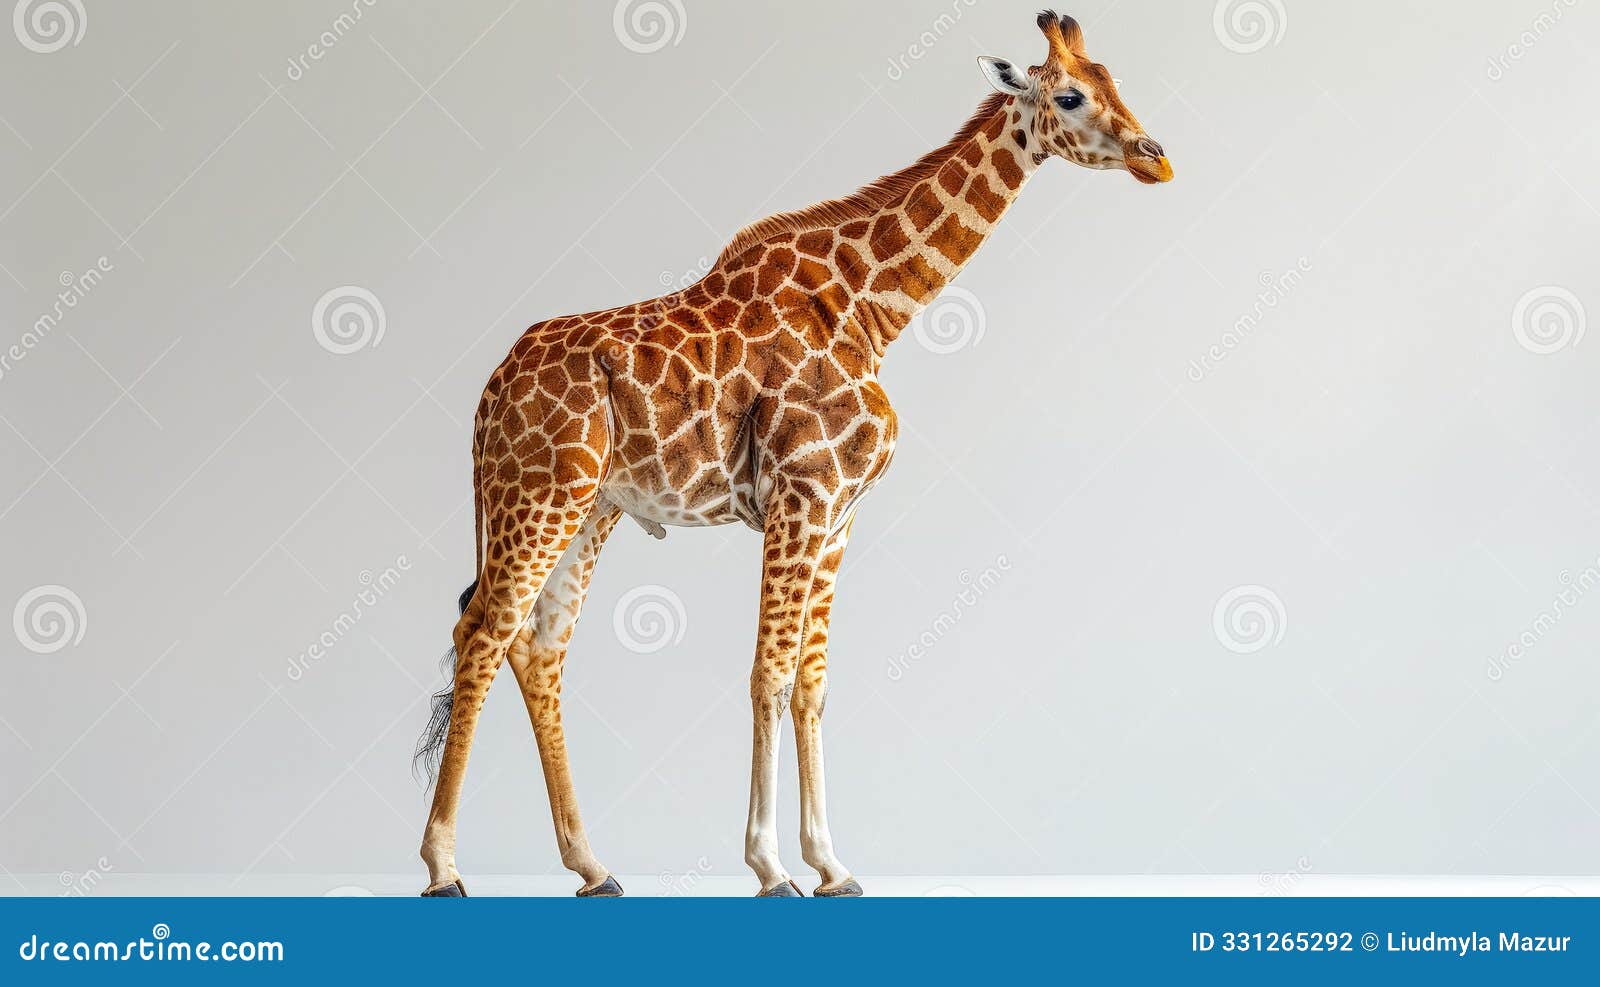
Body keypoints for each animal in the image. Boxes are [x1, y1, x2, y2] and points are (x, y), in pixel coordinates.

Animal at [414, 10, 1172, 898]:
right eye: (1071, 94)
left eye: (1113, 77)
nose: (1157, 156)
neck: (873, 309)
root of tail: (489, 393)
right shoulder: (801, 494)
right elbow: (767, 675)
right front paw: (770, 864)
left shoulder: (839, 514)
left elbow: (811, 684)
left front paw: (831, 863)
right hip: (537, 493)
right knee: (482, 632)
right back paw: (442, 865)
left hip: (590, 506)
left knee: (538, 648)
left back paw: (593, 865)